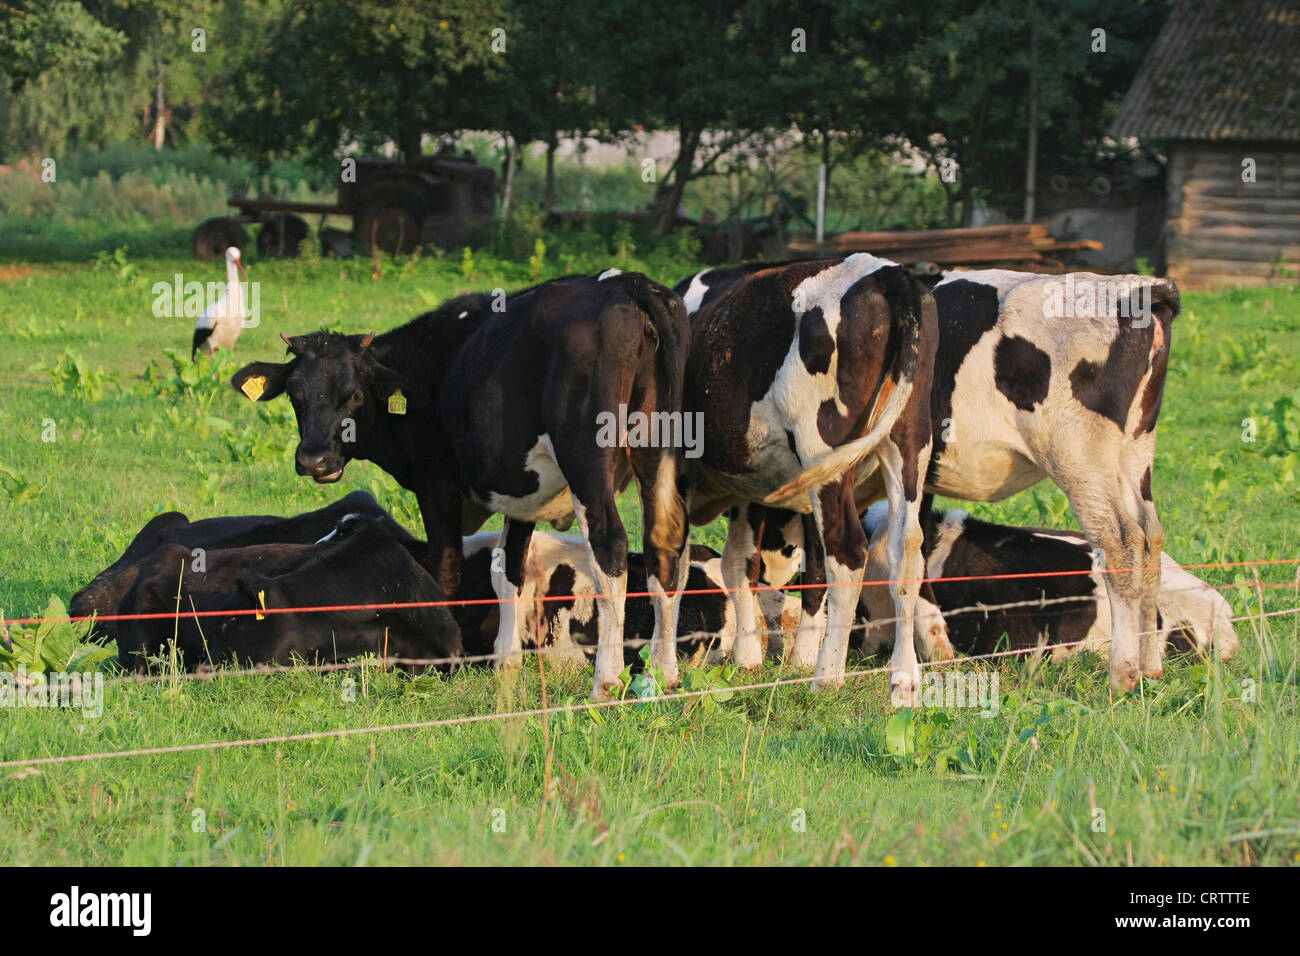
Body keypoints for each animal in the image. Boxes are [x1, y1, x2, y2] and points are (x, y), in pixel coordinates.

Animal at [230, 271, 691, 700]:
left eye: (354, 395)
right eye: (294, 396)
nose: (314, 460)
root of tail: (623, 283)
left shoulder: (438, 488)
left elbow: (444, 570)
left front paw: (444, 662)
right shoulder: (519, 489)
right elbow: (507, 569)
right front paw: (505, 661)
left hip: (586, 460)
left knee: (610, 547)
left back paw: (606, 684)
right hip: (659, 452)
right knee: (665, 545)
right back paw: (663, 673)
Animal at [676, 254, 938, 704]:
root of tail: (887, 272)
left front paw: (752, 657)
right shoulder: (754, 482)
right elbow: (747, 561)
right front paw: (774, 658)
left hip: (824, 449)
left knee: (847, 550)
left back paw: (827, 676)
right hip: (907, 442)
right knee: (907, 553)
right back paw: (904, 681)